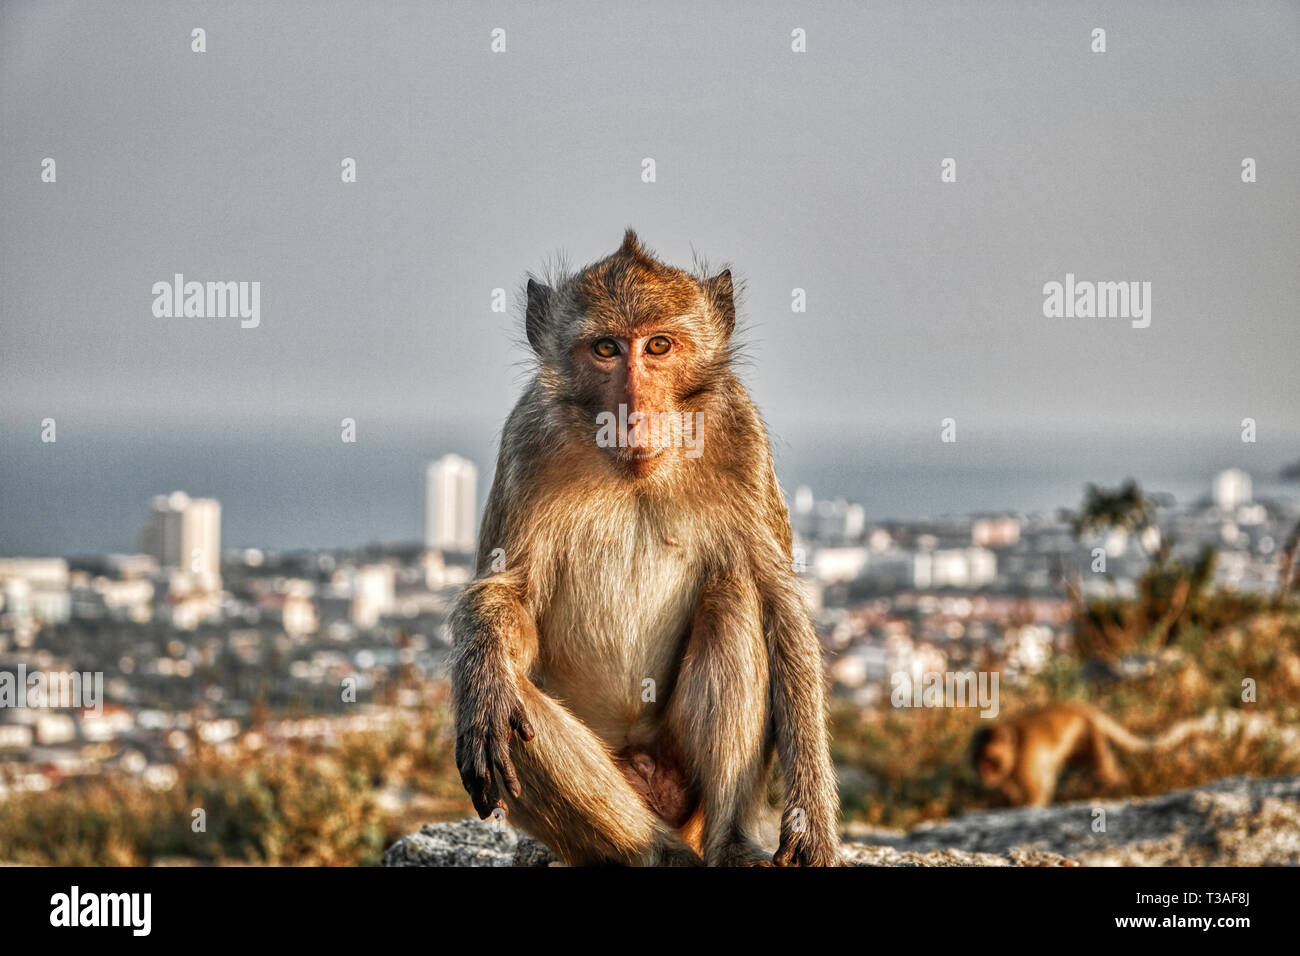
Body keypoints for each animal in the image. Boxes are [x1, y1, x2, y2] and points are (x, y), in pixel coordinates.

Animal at [449, 230, 840, 866]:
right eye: (606, 349)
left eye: (658, 346)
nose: (633, 406)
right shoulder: (528, 438)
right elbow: (508, 596)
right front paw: (481, 681)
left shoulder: (740, 432)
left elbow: (778, 603)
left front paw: (812, 824)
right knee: (515, 711)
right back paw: (652, 851)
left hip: (684, 783)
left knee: (735, 596)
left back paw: (730, 843)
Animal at [970, 701, 1160, 807]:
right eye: (977, 760)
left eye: (988, 760)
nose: (983, 774)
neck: (1015, 749)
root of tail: (1079, 707)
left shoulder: (1025, 761)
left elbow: (1037, 795)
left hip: (1088, 734)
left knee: (1103, 769)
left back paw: (1120, 785)